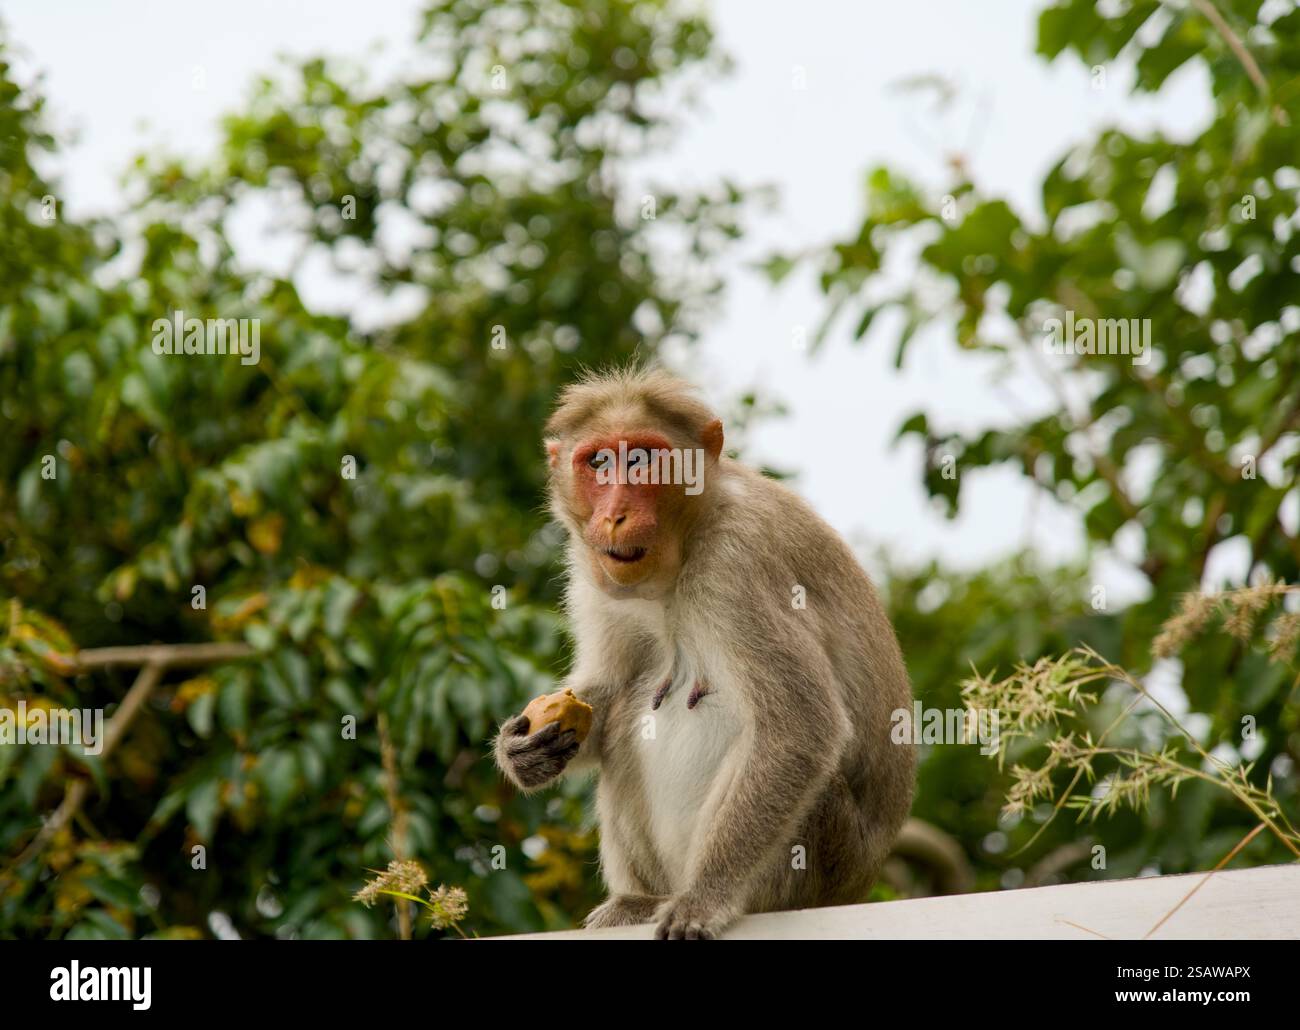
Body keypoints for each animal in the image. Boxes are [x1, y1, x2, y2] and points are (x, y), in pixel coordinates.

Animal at [493, 366, 915, 939]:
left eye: (642, 459)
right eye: (599, 462)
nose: (616, 514)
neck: (685, 544)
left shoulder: (738, 560)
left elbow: (801, 726)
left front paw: (702, 899)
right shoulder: (590, 566)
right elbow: (606, 688)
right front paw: (521, 748)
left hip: (826, 858)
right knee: (627, 712)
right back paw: (638, 901)